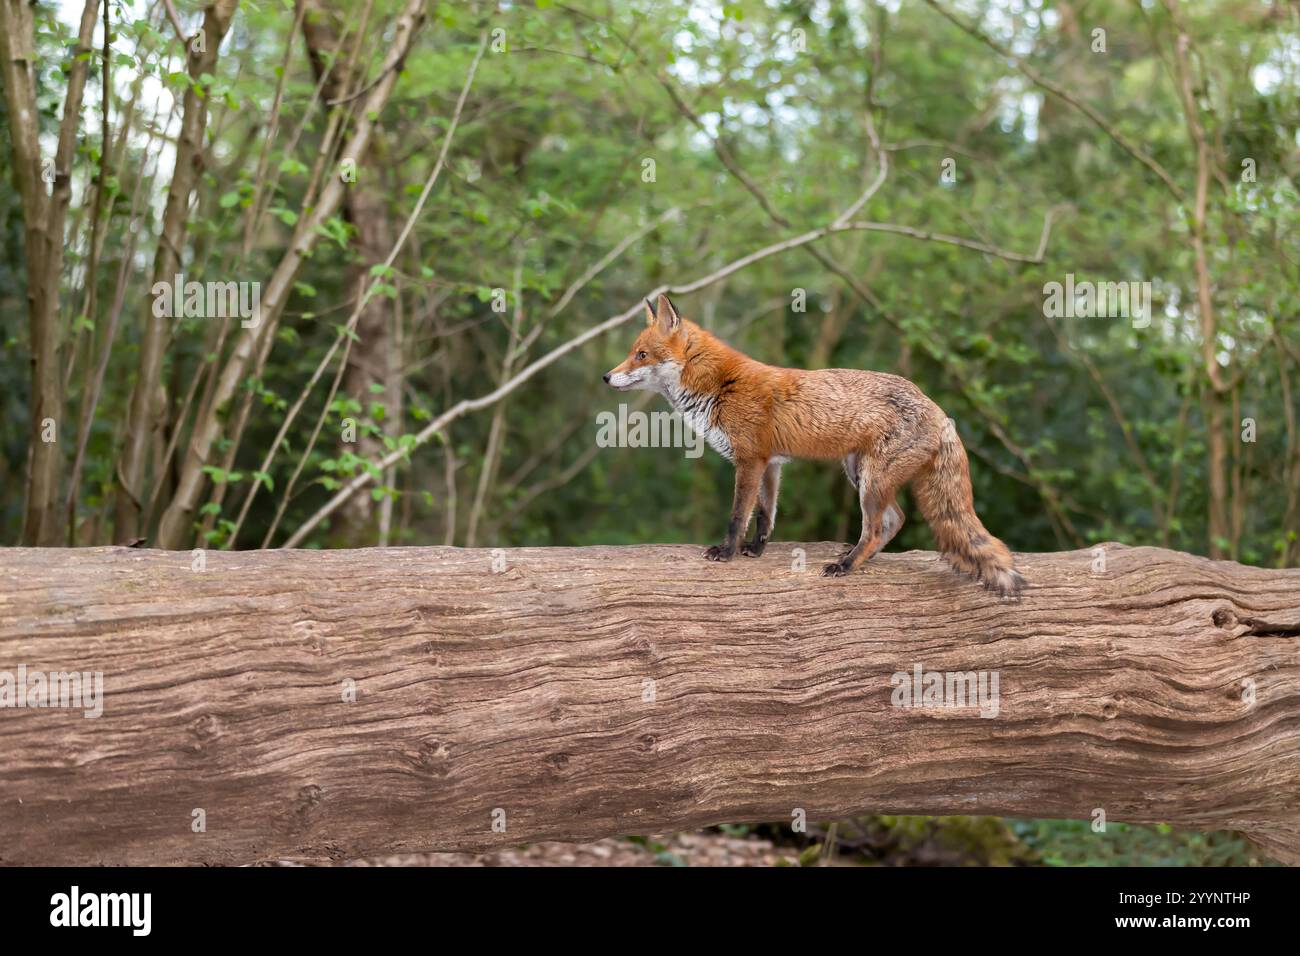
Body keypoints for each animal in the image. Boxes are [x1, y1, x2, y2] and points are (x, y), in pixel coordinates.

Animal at [603, 293, 1025, 597]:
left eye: (641, 354)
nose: (607, 376)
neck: (718, 384)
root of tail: (937, 408)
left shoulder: (749, 460)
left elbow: (737, 515)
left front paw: (726, 552)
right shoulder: (771, 463)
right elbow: (766, 515)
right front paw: (755, 550)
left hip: (871, 481)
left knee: (878, 527)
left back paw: (848, 565)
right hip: (859, 474)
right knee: (896, 520)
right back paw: (857, 558)